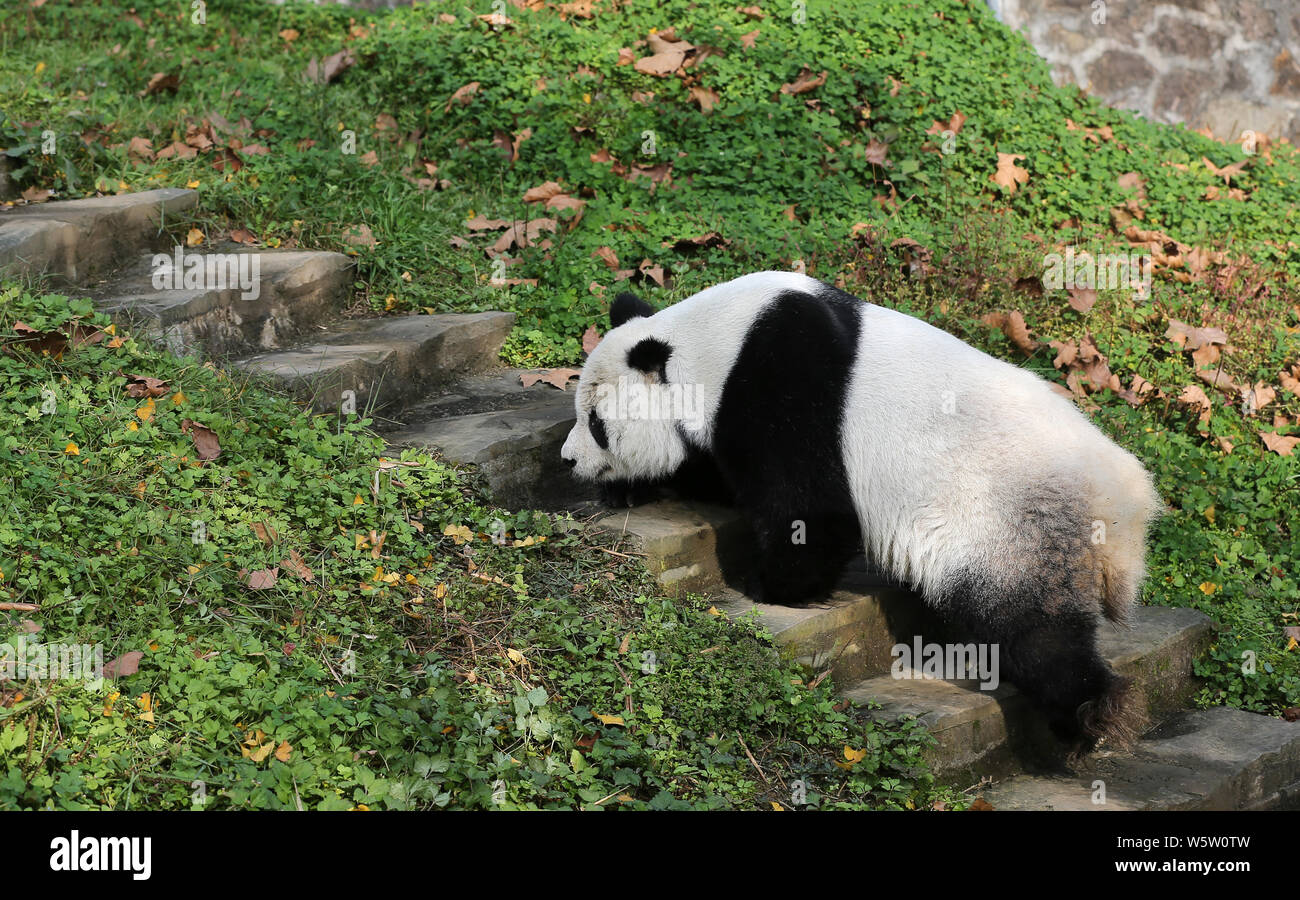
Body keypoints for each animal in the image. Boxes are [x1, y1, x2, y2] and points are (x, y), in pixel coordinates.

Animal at [560, 271, 1163, 751]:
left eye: (596, 423)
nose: (568, 460)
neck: (713, 345)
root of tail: (1124, 503)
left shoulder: (785, 384)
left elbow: (810, 508)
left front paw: (775, 586)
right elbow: (717, 475)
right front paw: (633, 488)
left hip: (1010, 519)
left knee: (1034, 627)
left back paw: (1093, 716)